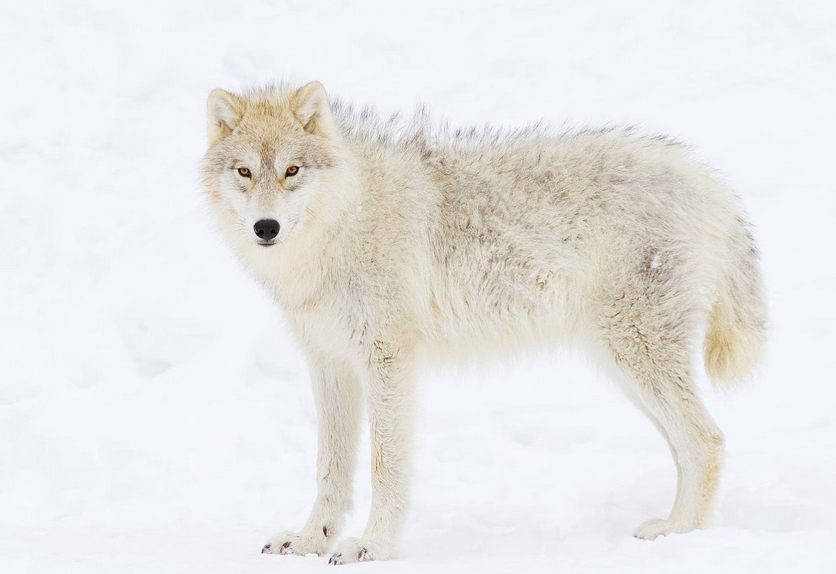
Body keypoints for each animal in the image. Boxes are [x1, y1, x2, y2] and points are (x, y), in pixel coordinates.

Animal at [200, 81, 766, 564]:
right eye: (245, 173)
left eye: (292, 170)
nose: (265, 227)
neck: (343, 224)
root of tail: (708, 180)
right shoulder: (331, 365)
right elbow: (329, 470)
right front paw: (311, 543)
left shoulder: (387, 361)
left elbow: (385, 467)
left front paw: (373, 546)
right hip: (625, 369)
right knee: (691, 445)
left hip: (636, 356)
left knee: (707, 440)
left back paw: (677, 538)